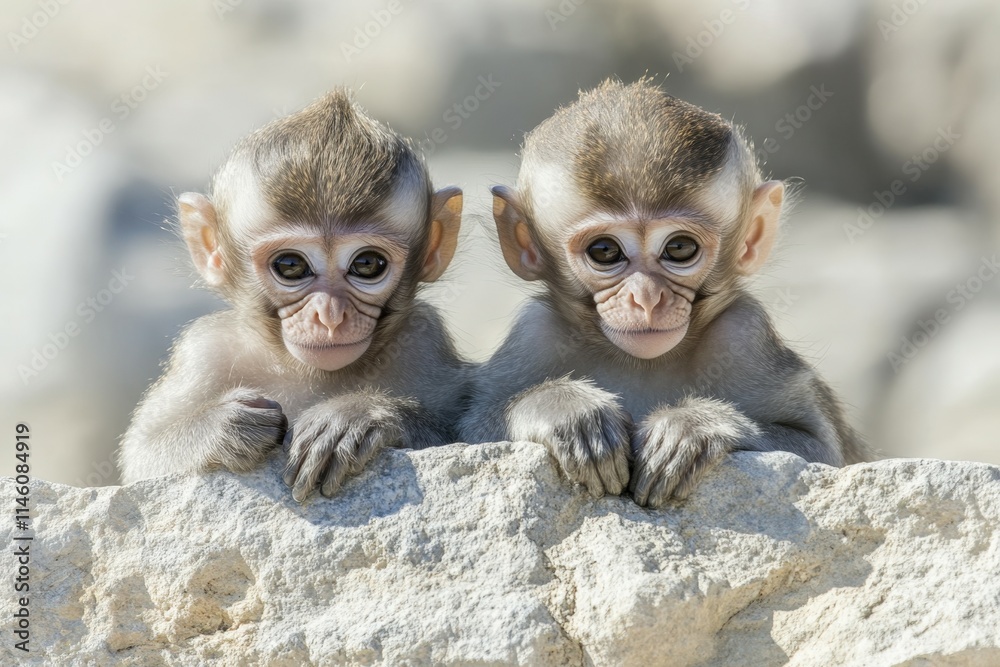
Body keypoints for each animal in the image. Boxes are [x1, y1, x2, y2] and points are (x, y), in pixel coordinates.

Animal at [119, 91, 467, 502]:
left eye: (367, 264)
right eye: (290, 265)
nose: (329, 315)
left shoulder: (424, 336)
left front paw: (356, 416)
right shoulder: (204, 348)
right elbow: (143, 456)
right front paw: (222, 426)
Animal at [459, 78, 867, 509]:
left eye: (680, 247)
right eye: (604, 251)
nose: (646, 297)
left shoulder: (745, 332)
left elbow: (820, 447)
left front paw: (688, 427)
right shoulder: (535, 330)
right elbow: (474, 428)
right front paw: (565, 411)